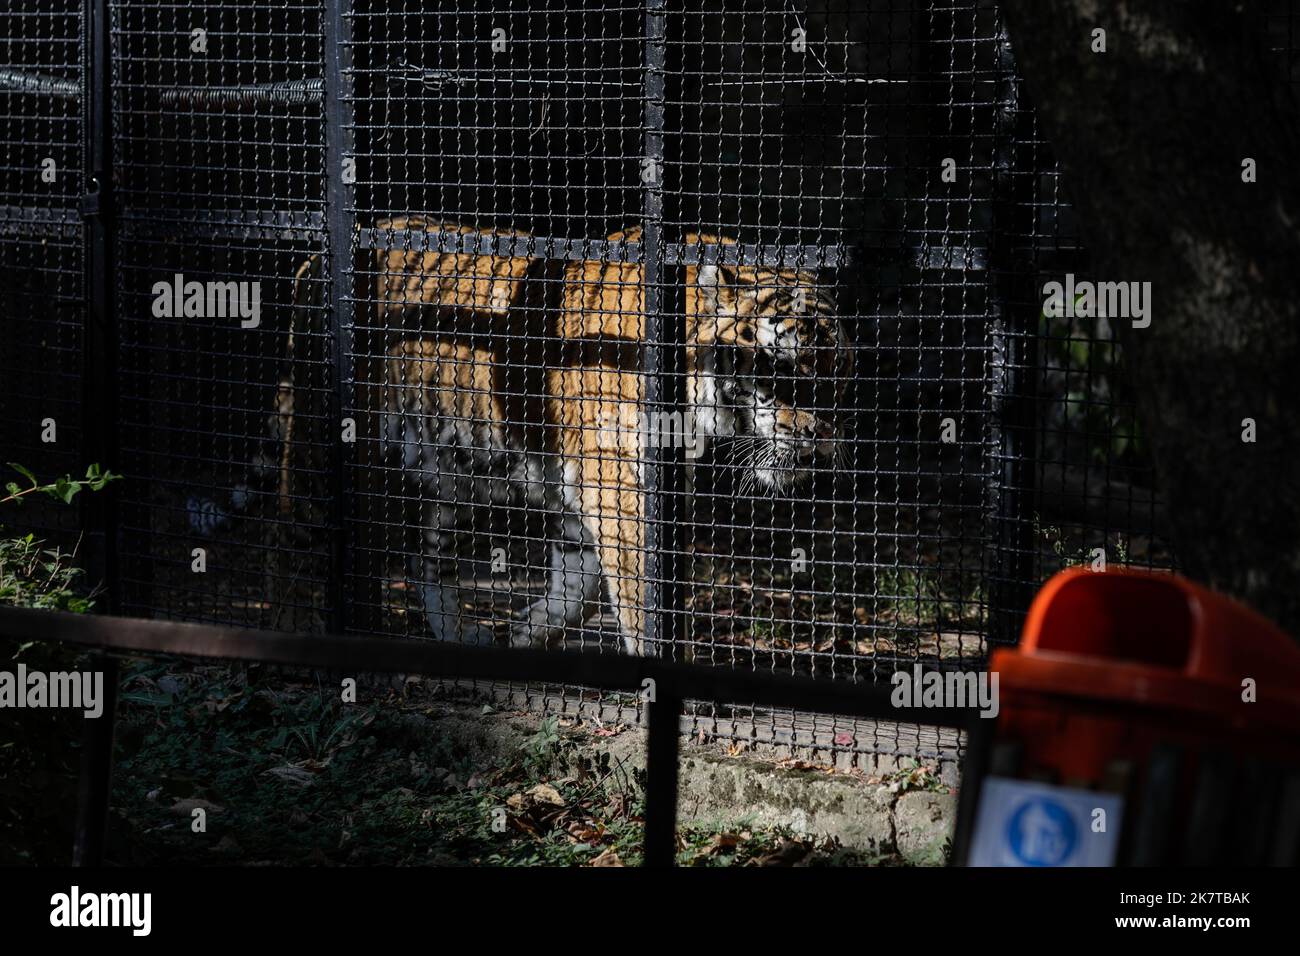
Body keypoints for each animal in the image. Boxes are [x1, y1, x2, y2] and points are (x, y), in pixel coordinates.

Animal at [372, 217, 854, 656]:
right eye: (783, 369)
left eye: (841, 373)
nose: (824, 436)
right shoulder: (615, 483)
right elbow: (640, 596)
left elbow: (580, 585)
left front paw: (529, 630)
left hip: (450, 482)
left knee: (426, 556)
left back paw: (459, 635)